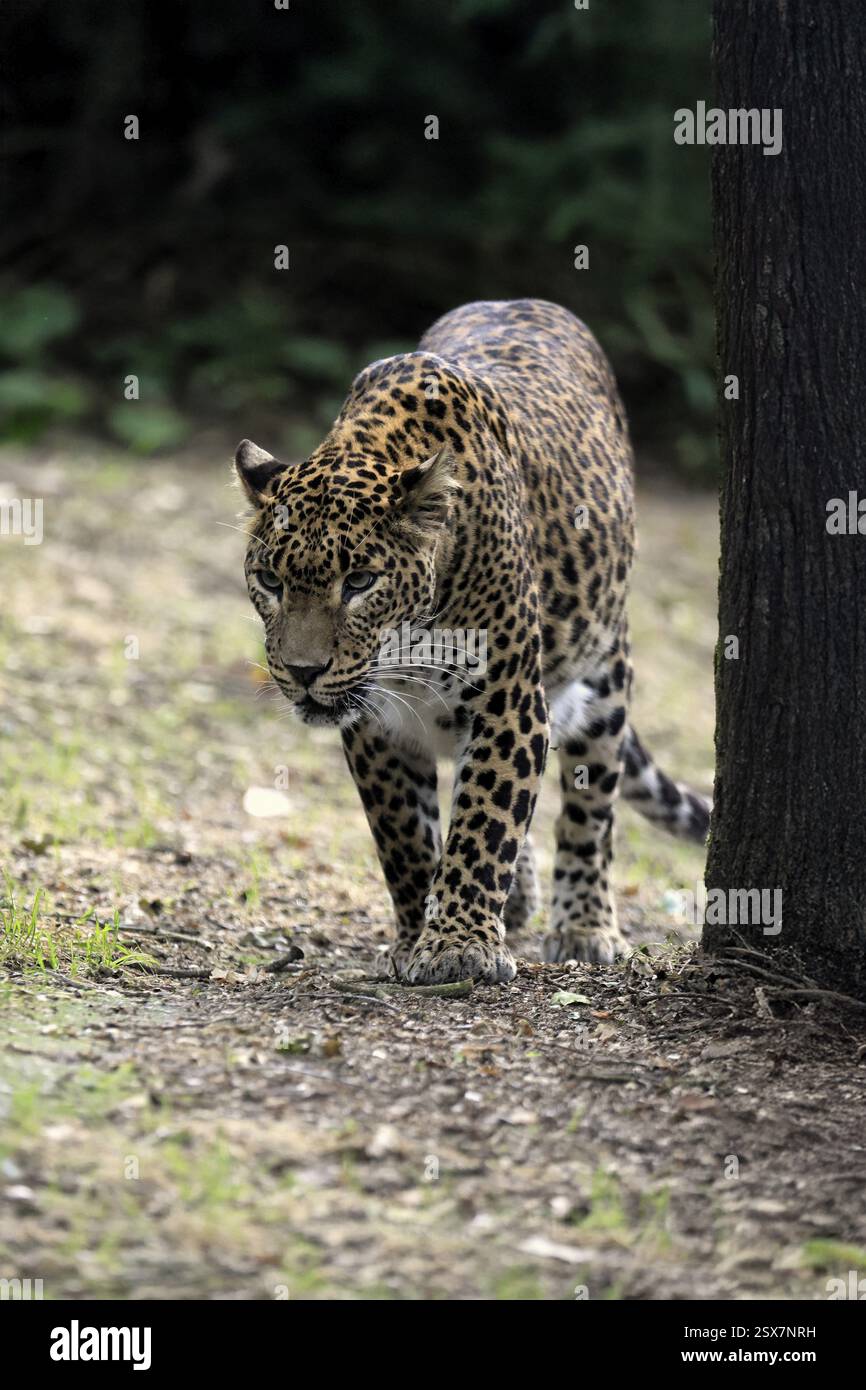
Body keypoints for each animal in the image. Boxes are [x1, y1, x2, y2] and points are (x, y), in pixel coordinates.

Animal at [235, 298, 710, 984]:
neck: (407, 644)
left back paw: (585, 925)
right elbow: (405, 837)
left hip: (604, 676)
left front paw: (459, 945)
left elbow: (486, 819)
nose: (302, 671)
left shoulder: (508, 701)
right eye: (270, 580)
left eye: (360, 581)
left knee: (591, 809)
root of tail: (524, 300)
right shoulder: (376, 725)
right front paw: (417, 935)